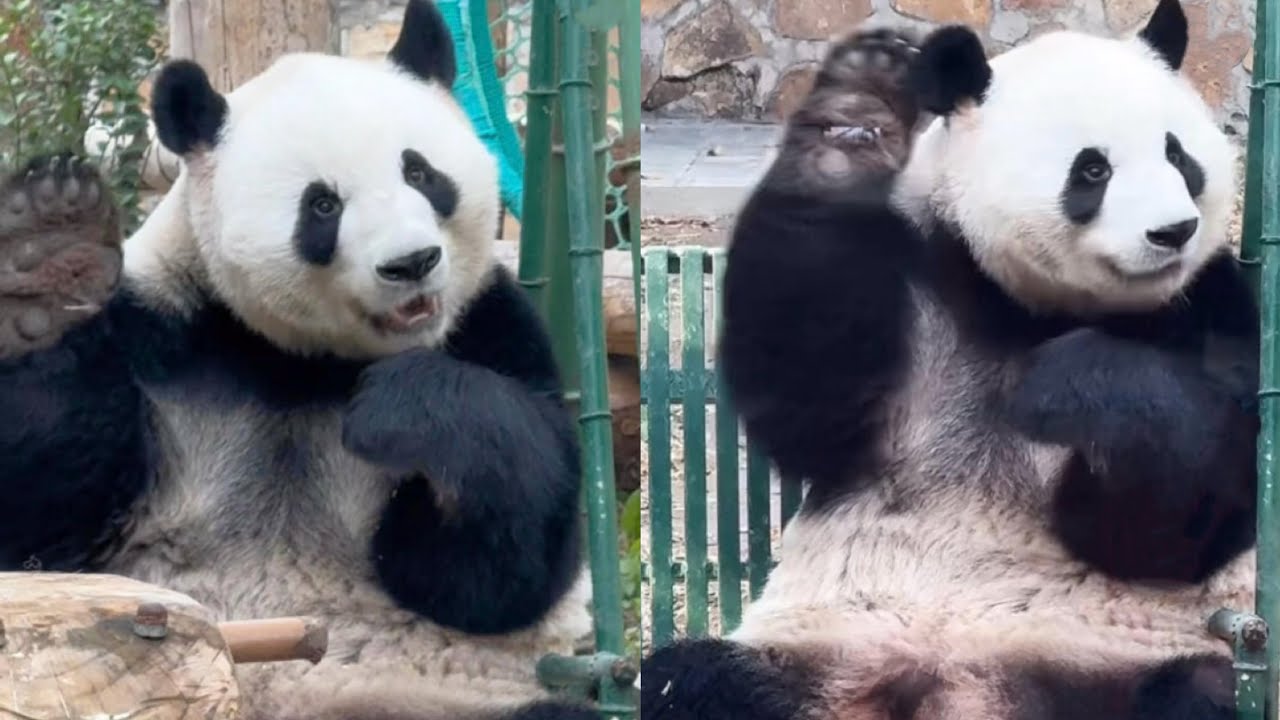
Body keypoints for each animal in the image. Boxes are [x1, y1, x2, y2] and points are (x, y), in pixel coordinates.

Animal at [0, 2, 599, 719]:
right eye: (322, 205)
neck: (304, 360)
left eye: (420, 173)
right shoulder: (165, 331)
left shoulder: (496, 330)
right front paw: (47, 263)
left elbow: (500, 569)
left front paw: (404, 406)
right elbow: (39, 519)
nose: (412, 263)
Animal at [642, 1, 1260, 718]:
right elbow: (809, 409)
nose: (1173, 232)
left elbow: (1180, 517)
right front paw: (857, 111)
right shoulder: (918, 274)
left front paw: (1073, 383)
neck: (1026, 305)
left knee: (1195, 693)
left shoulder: (1209, 307)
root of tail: (956, 689)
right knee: (694, 681)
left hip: (1110, 661)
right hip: (822, 649)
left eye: (1178, 155)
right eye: (1093, 170)